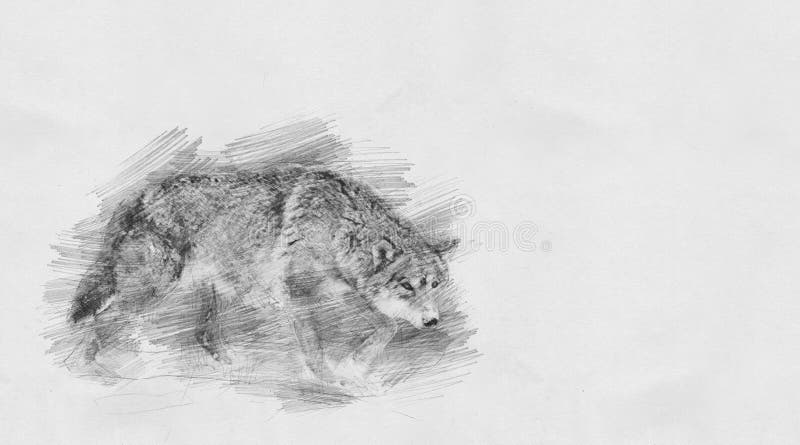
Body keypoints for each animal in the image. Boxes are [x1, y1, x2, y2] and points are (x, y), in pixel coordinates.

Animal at [70, 164, 458, 388]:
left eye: (434, 285)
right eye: (407, 285)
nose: (432, 322)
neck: (339, 228)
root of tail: (138, 195)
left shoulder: (345, 292)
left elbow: (387, 326)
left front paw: (355, 364)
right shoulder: (297, 296)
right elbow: (314, 348)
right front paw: (330, 380)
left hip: (211, 288)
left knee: (202, 334)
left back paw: (229, 369)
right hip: (153, 290)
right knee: (103, 320)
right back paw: (97, 373)